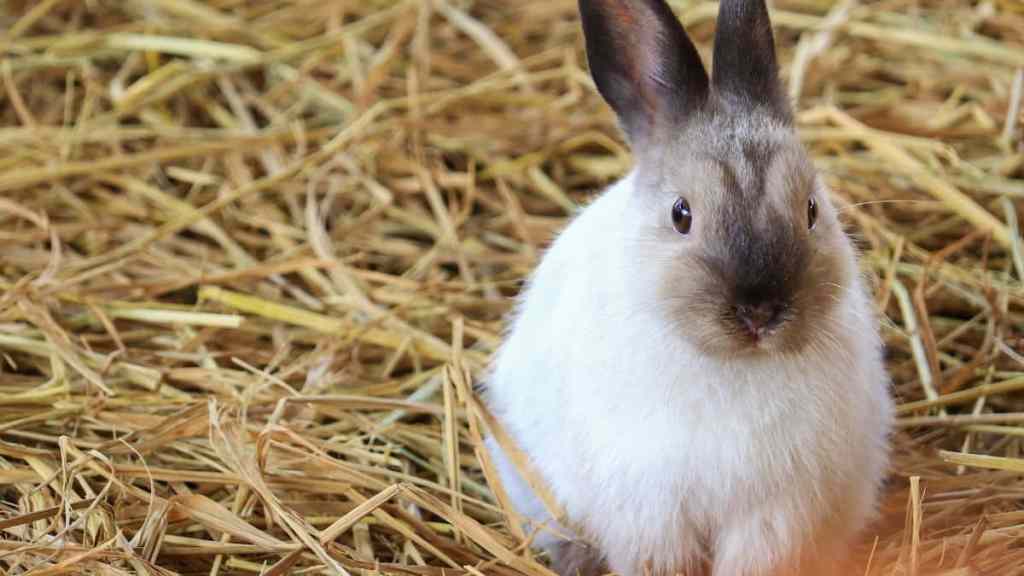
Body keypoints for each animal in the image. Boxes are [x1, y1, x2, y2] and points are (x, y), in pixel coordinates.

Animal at [482, 0, 894, 575]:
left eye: (812, 210)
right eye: (681, 215)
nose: (760, 311)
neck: (736, 365)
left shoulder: (776, 511)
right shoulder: (651, 508)